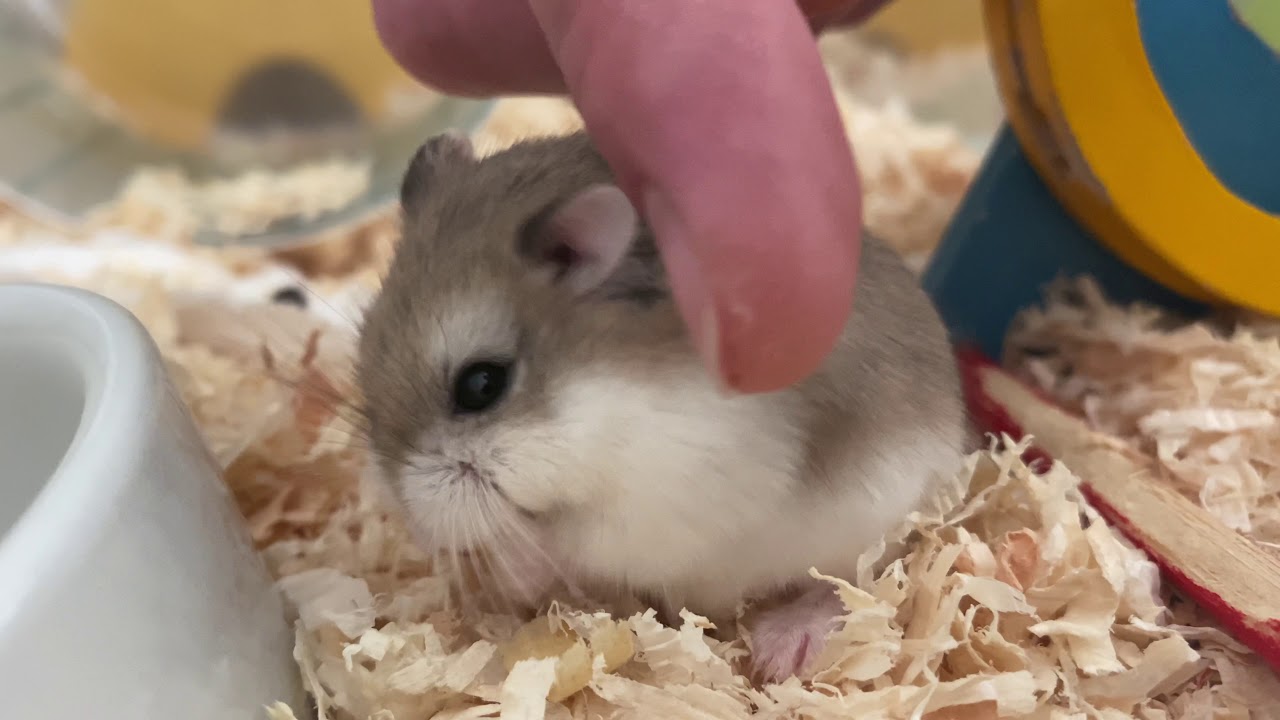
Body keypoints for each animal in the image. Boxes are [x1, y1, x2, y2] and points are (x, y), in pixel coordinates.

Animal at [356, 130, 970, 682]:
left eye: (481, 384)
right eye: (365, 346)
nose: (416, 527)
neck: (603, 403)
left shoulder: (665, 496)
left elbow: (565, 541)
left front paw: (512, 559)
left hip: (875, 514)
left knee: (860, 581)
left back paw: (782, 646)